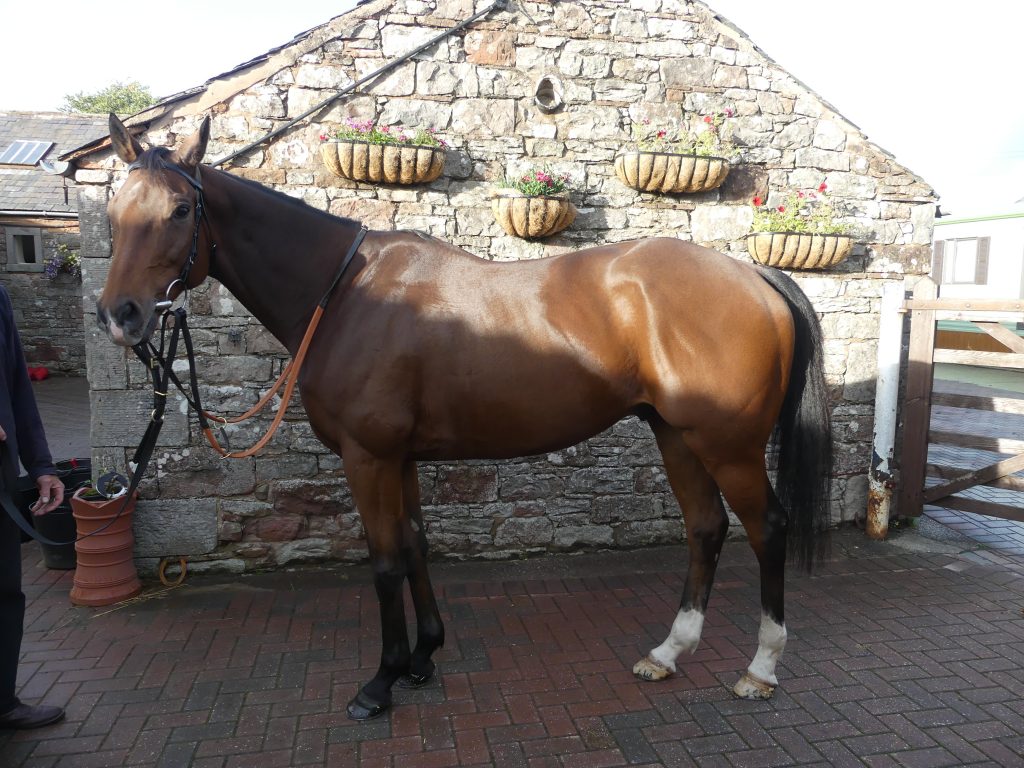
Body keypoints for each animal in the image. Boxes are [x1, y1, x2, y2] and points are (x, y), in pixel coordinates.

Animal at [97, 113, 832, 720]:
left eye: (181, 208)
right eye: (113, 209)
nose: (120, 315)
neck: (345, 295)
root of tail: (755, 276)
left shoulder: (368, 457)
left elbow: (384, 560)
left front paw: (382, 680)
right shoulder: (400, 458)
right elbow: (416, 544)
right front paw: (423, 657)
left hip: (727, 445)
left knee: (767, 529)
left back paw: (760, 668)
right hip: (676, 434)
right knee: (705, 528)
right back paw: (668, 653)